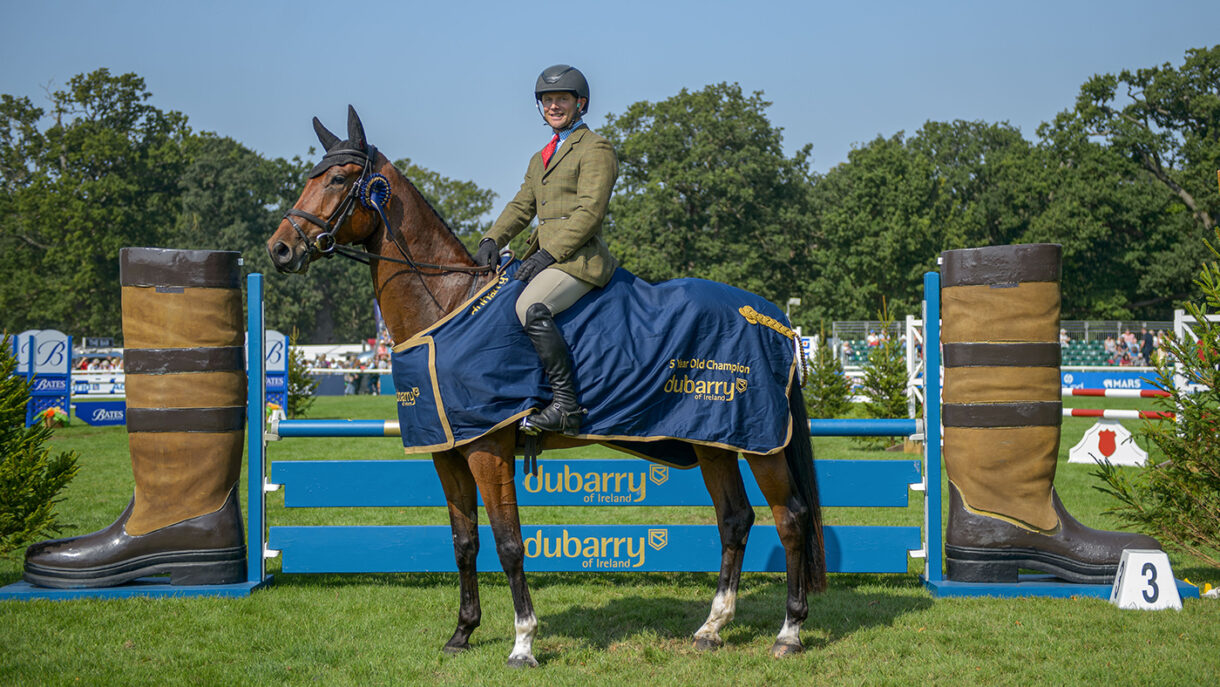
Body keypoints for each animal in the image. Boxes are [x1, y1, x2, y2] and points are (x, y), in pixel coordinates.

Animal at [266, 106, 826, 667]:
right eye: (311, 177)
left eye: (338, 180)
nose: (280, 249)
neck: (447, 306)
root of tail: (773, 318)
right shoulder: (447, 452)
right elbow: (464, 542)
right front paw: (462, 633)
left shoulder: (488, 451)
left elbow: (509, 544)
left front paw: (523, 641)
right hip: (714, 441)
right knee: (735, 519)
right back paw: (712, 627)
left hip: (758, 442)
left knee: (791, 518)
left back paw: (790, 632)